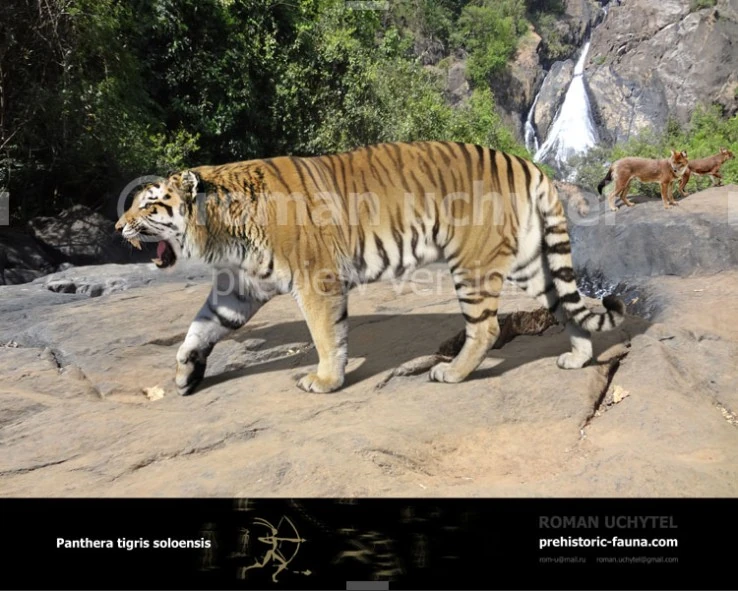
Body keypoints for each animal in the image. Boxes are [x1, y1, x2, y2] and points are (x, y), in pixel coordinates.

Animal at [115, 141, 626, 396]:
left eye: (148, 204)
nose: (118, 225)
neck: (223, 231)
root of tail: (524, 162)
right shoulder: (240, 288)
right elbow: (201, 327)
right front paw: (185, 373)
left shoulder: (315, 279)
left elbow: (325, 335)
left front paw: (324, 381)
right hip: (529, 262)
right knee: (568, 304)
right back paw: (578, 358)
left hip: (473, 264)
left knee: (486, 328)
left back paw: (451, 374)